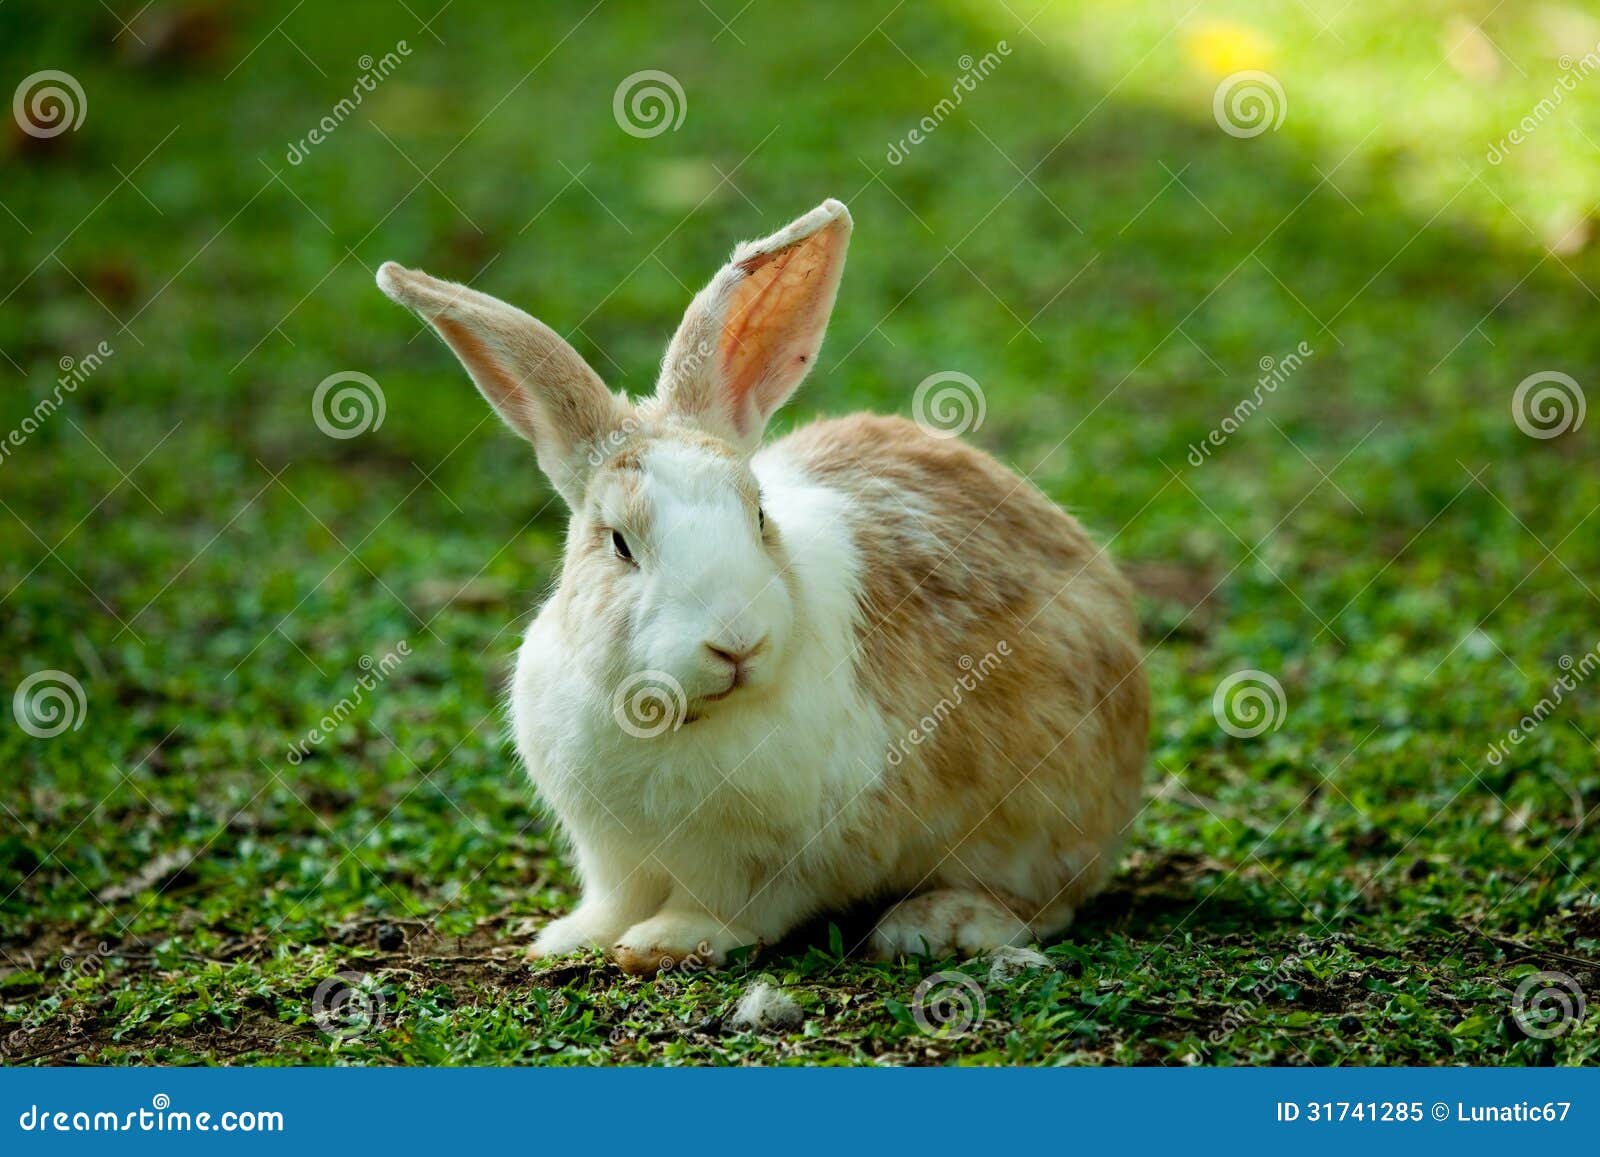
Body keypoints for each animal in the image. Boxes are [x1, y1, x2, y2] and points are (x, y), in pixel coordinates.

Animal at [376, 199, 1148, 973]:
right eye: (620, 544)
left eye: (759, 516)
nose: (736, 643)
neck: (681, 716)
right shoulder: (612, 855)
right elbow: (613, 901)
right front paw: (571, 937)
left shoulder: (772, 862)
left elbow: (737, 907)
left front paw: (664, 941)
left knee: (1048, 903)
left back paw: (940, 921)